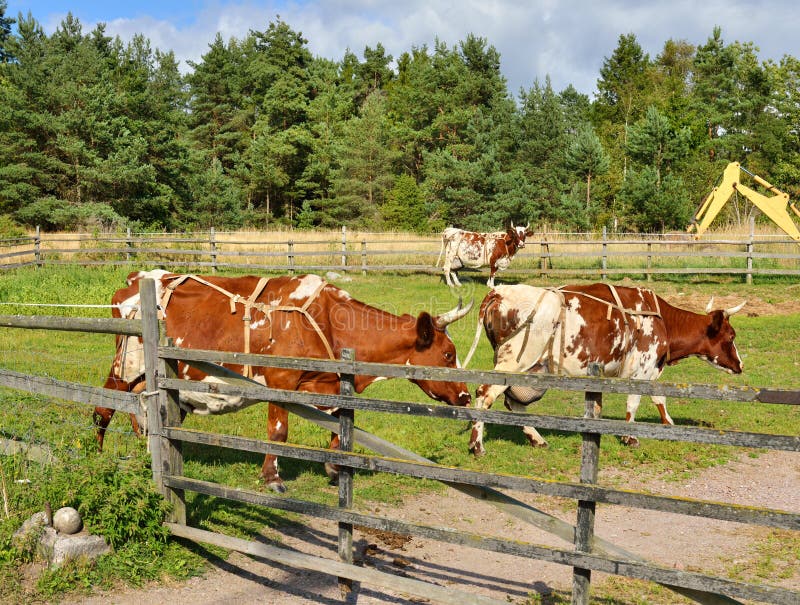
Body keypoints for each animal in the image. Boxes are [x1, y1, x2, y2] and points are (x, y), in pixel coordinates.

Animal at [94, 270, 473, 492]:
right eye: (448, 355)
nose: (466, 396)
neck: (329, 321)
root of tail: (136, 278)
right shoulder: (281, 380)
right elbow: (278, 433)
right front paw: (272, 477)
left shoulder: (329, 385)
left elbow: (342, 423)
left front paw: (334, 467)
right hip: (124, 366)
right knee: (104, 407)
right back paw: (97, 455)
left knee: (142, 409)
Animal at [461, 283, 745, 456]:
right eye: (731, 336)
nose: (740, 365)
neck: (662, 320)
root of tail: (498, 292)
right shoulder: (642, 370)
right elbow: (634, 403)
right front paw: (630, 437)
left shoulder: (649, 370)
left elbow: (658, 398)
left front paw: (669, 425)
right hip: (513, 363)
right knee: (485, 394)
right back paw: (477, 445)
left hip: (531, 368)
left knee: (513, 403)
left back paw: (537, 438)